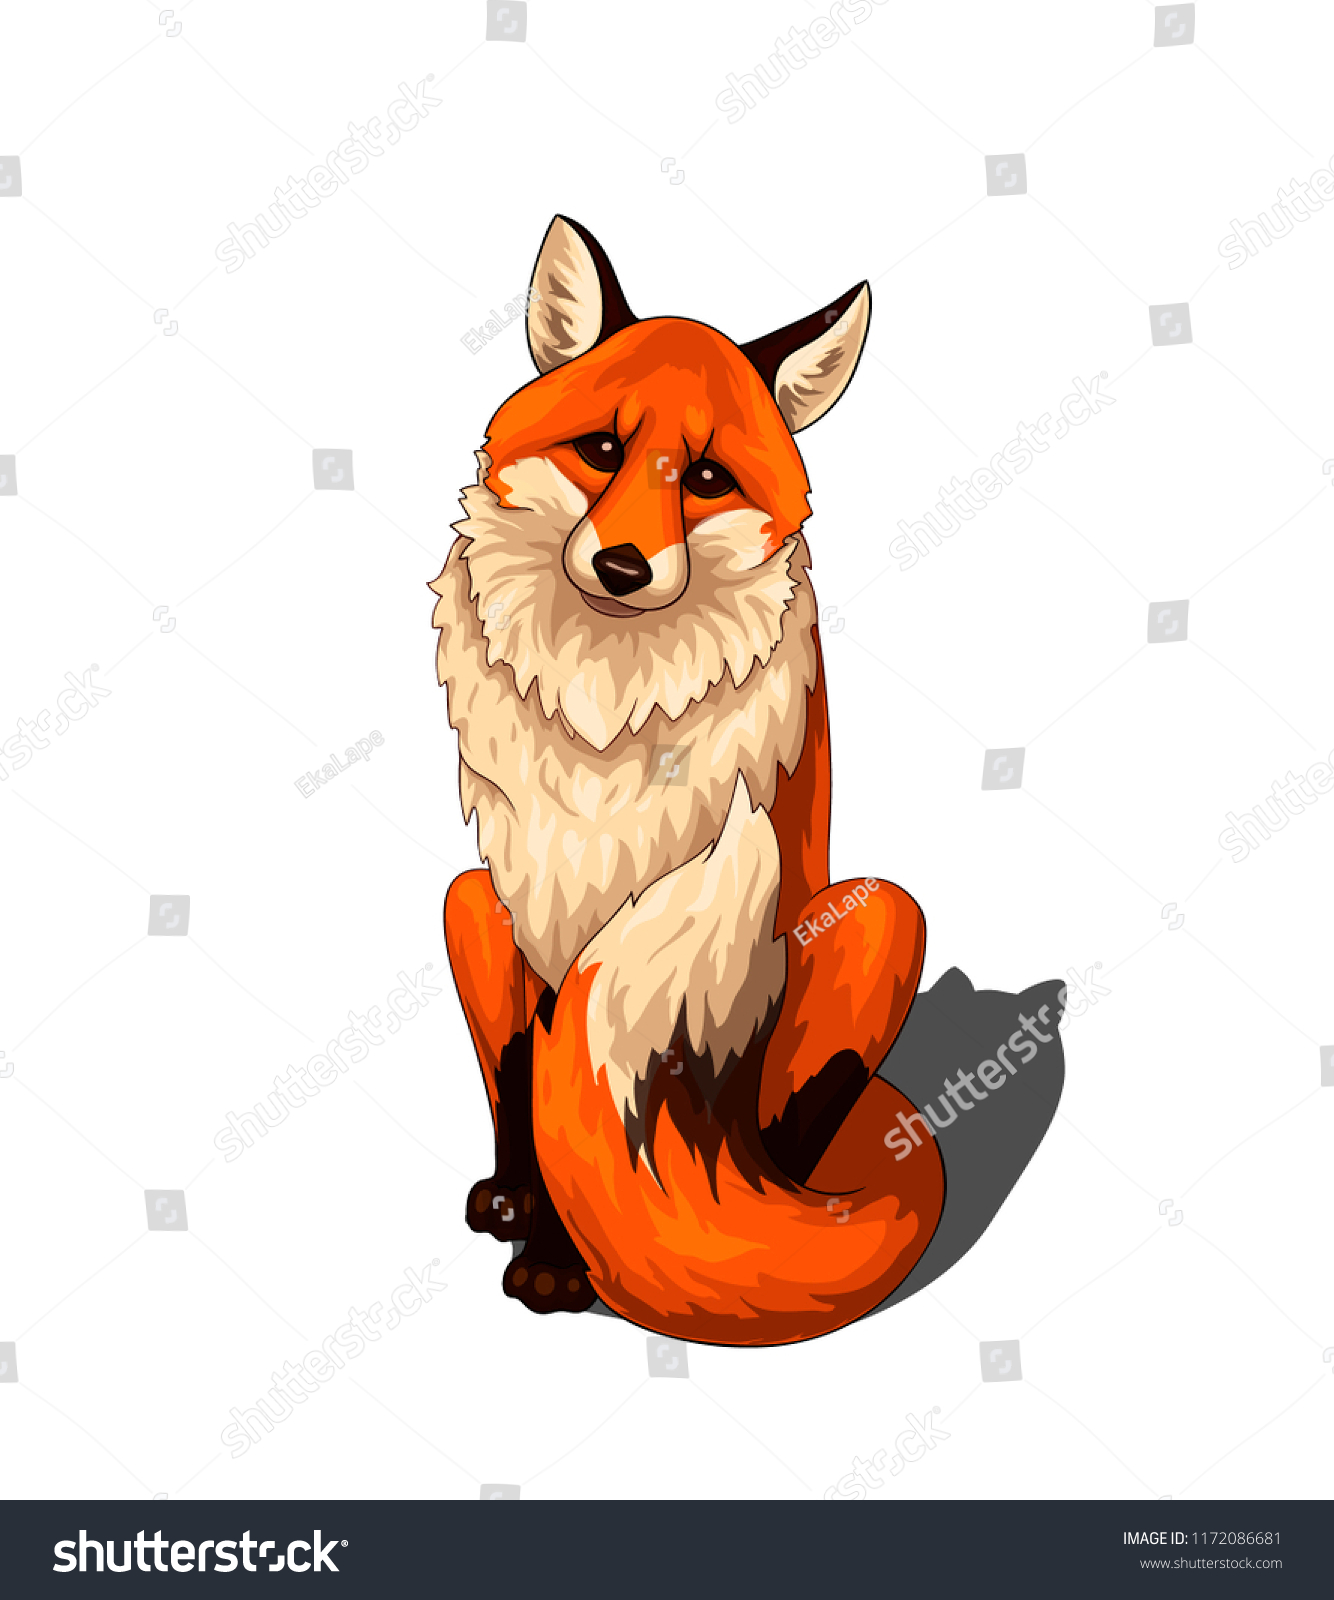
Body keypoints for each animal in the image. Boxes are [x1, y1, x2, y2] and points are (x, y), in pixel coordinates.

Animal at [431, 216, 946, 1347]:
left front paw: (561, 1265)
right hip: (466, 902)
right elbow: (536, 1084)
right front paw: (540, 1233)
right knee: (511, 1090)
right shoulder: (537, 916)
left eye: (705, 477)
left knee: (778, 1152)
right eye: (603, 452)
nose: (623, 568)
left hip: (879, 915)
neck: (608, 715)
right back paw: (508, 1198)